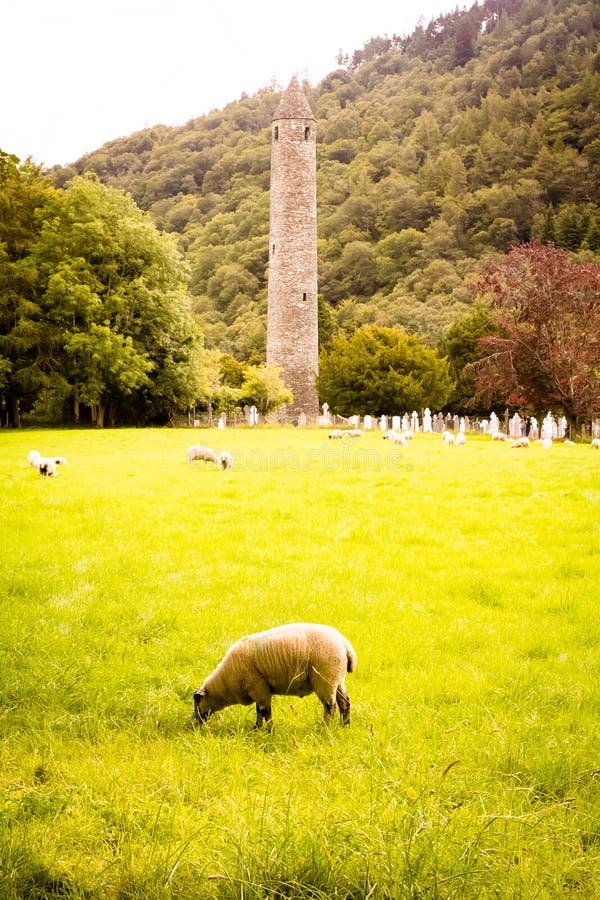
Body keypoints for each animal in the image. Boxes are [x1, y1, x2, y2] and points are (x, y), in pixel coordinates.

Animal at [194, 623, 357, 731]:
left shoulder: (258, 688)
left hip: (326, 679)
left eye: (197, 701)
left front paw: (268, 731)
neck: (226, 684)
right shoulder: (260, 690)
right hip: (337, 679)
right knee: (345, 701)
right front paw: (257, 729)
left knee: (330, 706)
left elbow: (265, 712)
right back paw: (345, 725)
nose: (196, 723)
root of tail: (345, 645)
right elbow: (260, 711)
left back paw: (324, 727)